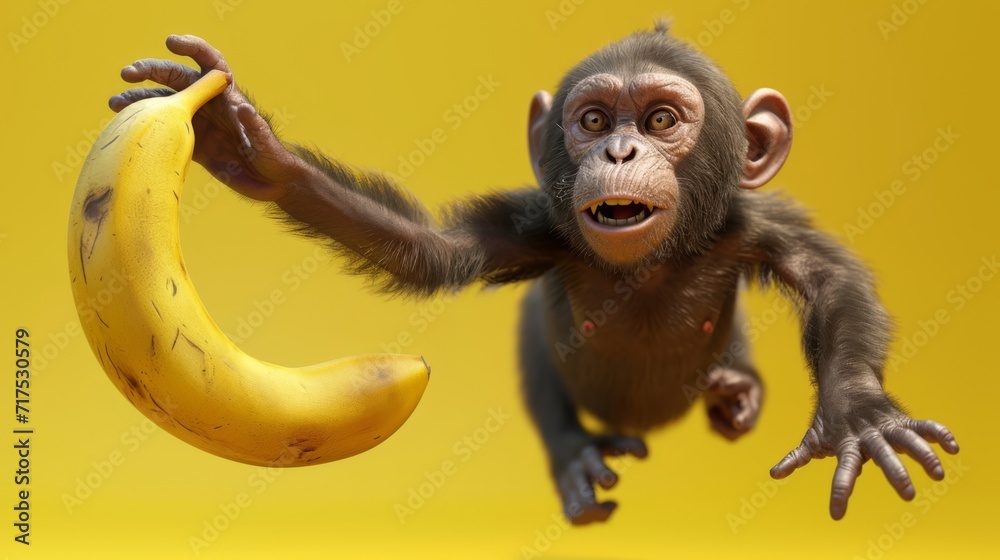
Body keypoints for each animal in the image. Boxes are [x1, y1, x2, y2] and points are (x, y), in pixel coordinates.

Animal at [110, 24, 959, 525]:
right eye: (592, 121)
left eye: (661, 120)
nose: (619, 150)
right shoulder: (534, 227)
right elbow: (427, 246)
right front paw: (245, 142)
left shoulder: (750, 224)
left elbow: (830, 281)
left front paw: (858, 414)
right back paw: (576, 455)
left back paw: (736, 391)